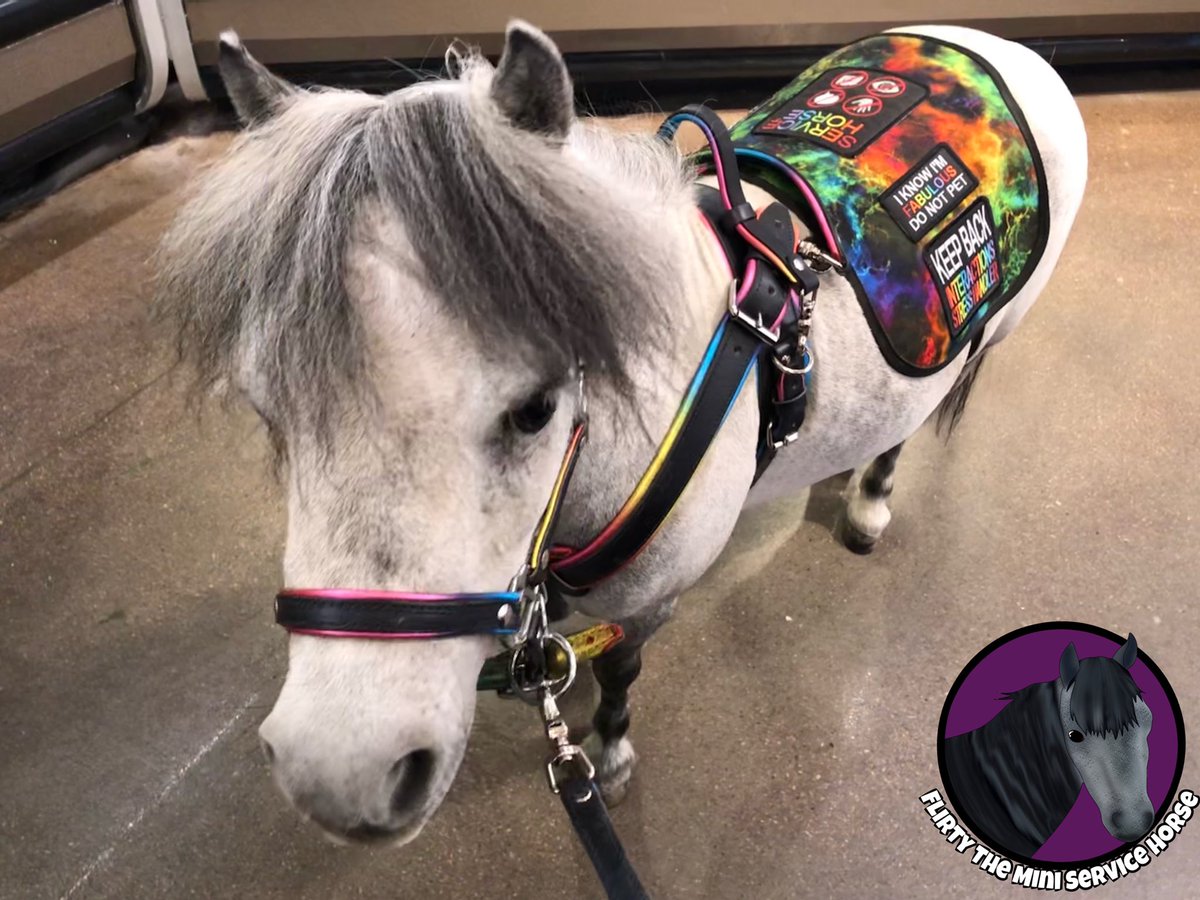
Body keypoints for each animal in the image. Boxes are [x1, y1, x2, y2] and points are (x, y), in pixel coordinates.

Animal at [155, 21, 1087, 845]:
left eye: (537, 406)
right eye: (265, 408)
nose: (339, 777)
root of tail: (1000, 46)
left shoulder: (647, 604)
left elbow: (616, 673)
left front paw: (609, 753)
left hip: (989, 333)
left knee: (915, 422)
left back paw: (869, 502)